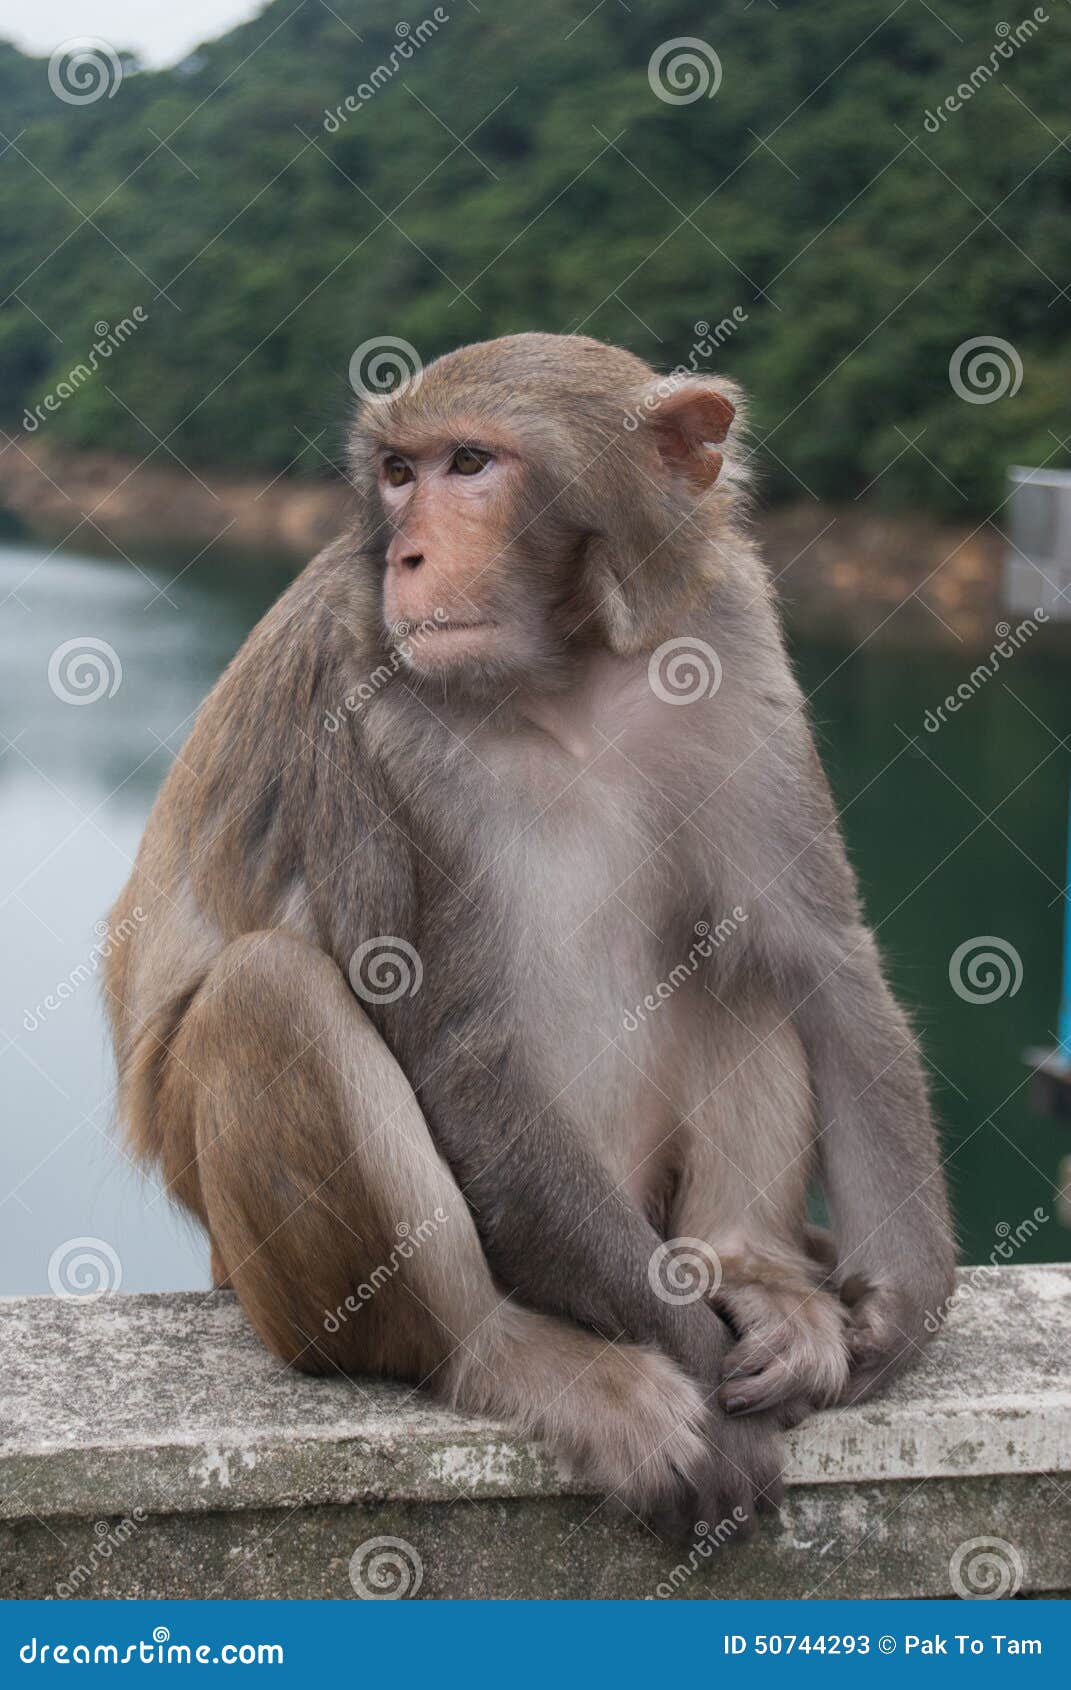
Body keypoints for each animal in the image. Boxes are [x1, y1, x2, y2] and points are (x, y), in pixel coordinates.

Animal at [105, 332, 955, 1541]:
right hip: (278, 1278)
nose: (408, 556)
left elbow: (819, 956)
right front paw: (704, 1364)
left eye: (470, 463)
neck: (568, 670)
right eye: (398, 472)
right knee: (272, 989)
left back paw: (754, 1269)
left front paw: (896, 1312)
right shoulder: (368, 706)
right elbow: (462, 1046)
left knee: (739, 954)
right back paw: (522, 1356)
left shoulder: (729, 634)